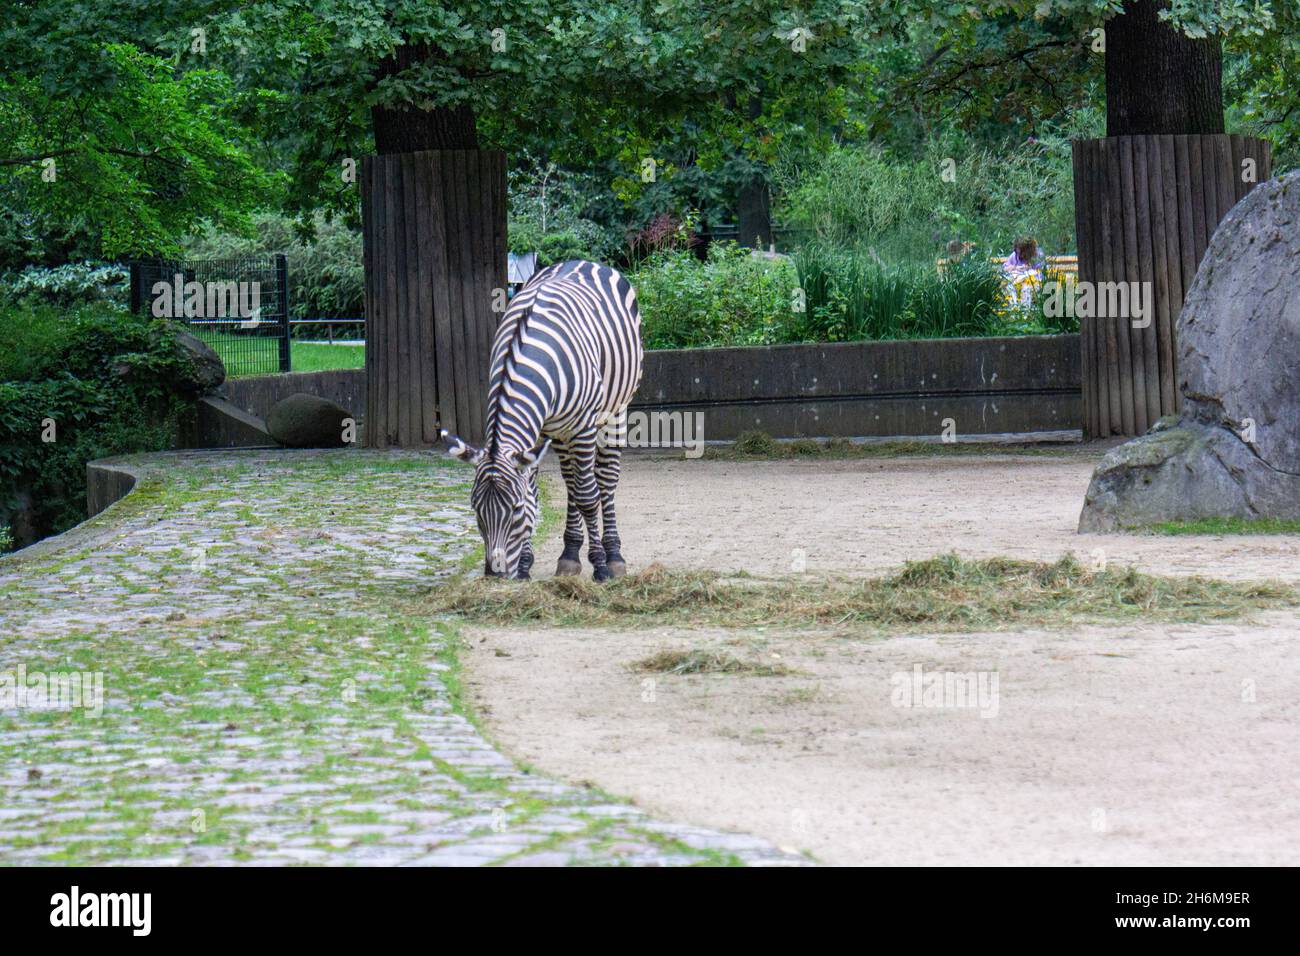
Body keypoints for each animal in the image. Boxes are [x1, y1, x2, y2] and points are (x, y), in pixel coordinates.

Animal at [442, 259, 644, 582]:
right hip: (558, 431)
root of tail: (582, 261)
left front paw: (600, 567)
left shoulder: (583, 427)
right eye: (475, 509)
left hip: (615, 411)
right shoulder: (535, 435)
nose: (494, 575)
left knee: (605, 480)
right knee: (572, 481)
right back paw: (569, 555)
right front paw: (525, 565)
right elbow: (538, 495)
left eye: (514, 510)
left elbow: (588, 497)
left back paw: (613, 555)